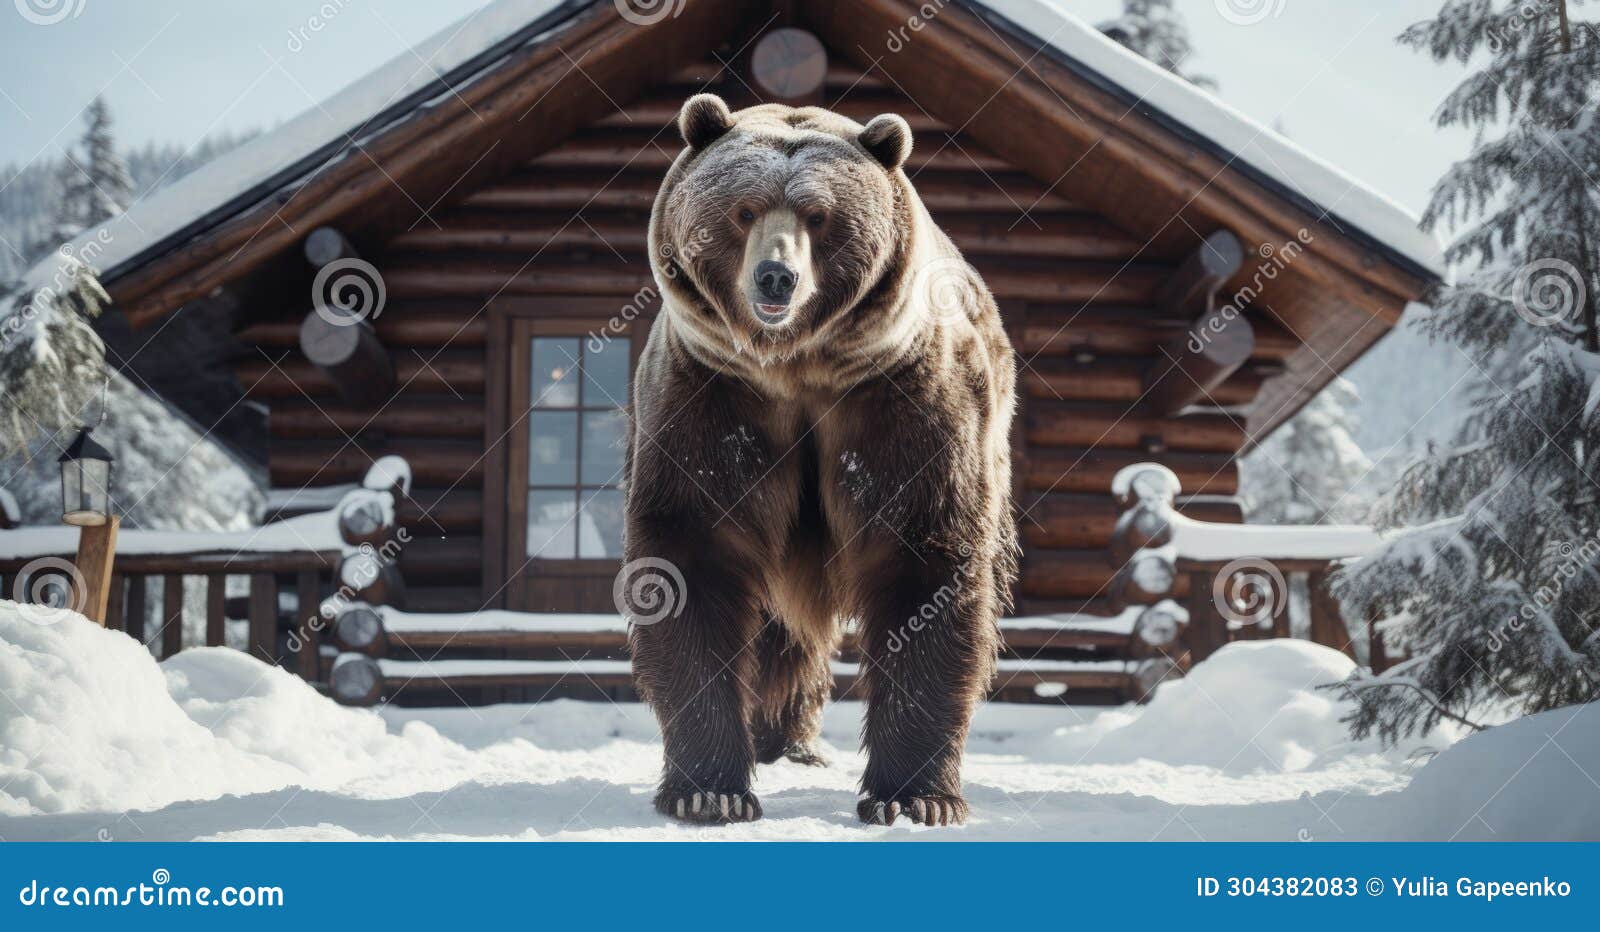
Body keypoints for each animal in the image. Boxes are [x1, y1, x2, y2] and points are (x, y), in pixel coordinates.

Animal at [624, 93, 1017, 827]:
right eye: (743, 210)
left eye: (819, 216)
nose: (777, 276)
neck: (796, 366)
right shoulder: (712, 398)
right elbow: (691, 556)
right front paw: (709, 789)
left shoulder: (901, 400)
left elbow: (924, 561)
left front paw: (914, 796)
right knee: (778, 633)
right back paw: (779, 740)